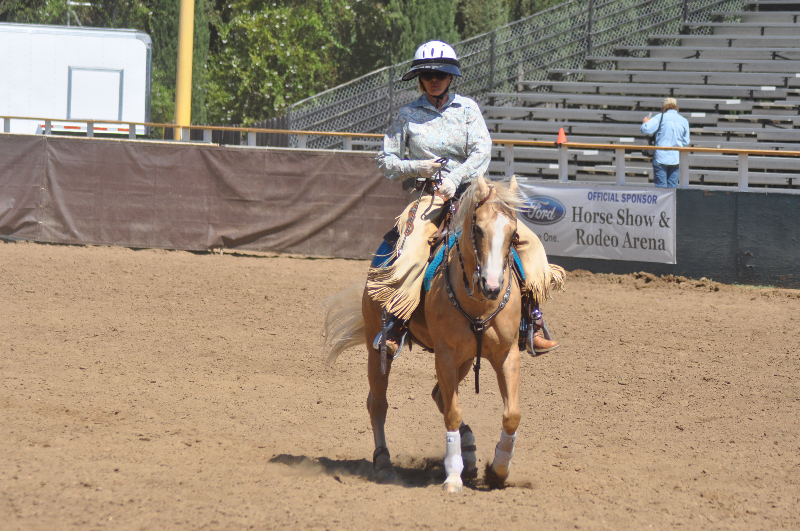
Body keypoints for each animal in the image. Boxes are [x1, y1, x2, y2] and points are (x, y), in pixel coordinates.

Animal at [322, 175, 525, 493]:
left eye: (514, 232)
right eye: (478, 228)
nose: (492, 285)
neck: (479, 303)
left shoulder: (507, 354)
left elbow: (511, 414)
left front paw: (498, 470)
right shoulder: (445, 355)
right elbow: (453, 412)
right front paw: (453, 476)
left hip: (465, 360)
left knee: (437, 395)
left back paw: (470, 453)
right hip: (377, 347)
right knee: (378, 403)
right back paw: (384, 463)